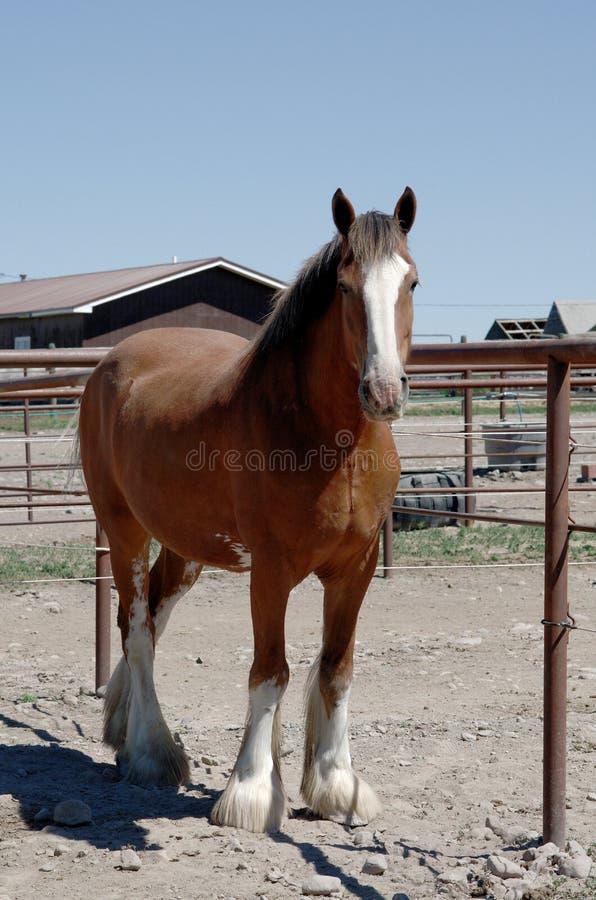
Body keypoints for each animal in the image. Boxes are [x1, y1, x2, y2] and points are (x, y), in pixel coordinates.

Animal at [78, 187, 418, 833]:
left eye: (411, 280)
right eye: (344, 286)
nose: (383, 392)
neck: (328, 441)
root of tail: (111, 365)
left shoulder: (356, 568)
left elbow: (336, 669)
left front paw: (336, 783)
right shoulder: (271, 570)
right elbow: (270, 672)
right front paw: (254, 791)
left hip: (186, 547)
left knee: (152, 616)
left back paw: (123, 729)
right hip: (125, 529)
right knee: (137, 631)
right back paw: (151, 752)